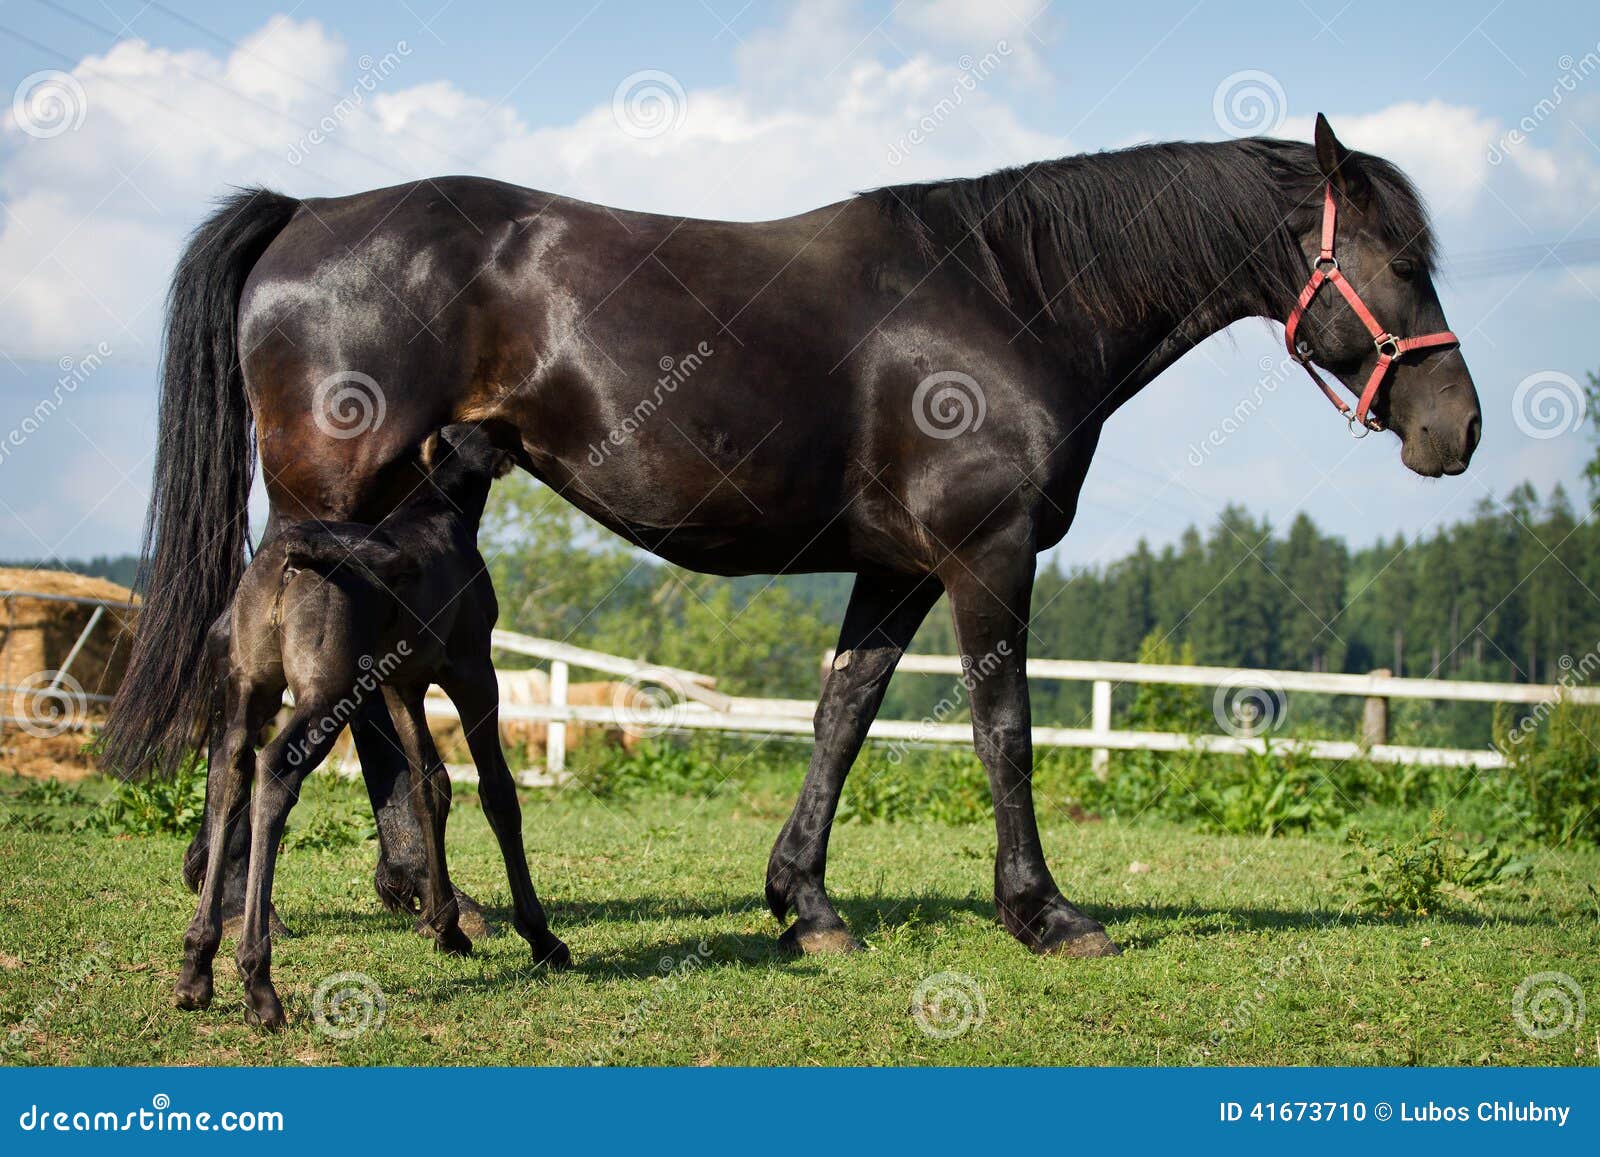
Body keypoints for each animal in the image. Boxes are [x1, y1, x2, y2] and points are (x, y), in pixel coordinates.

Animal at [105, 115, 1481, 959]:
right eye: (1396, 257)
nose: (1455, 426)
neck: (1007, 295)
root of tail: (307, 215)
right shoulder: (987, 557)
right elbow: (1006, 733)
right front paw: (1041, 910)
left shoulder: (896, 569)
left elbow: (843, 715)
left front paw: (804, 901)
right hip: (339, 518)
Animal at [174, 423, 569, 1029]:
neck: (438, 509)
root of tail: (289, 558)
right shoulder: (474, 671)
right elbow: (497, 793)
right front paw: (541, 937)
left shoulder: (401, 685)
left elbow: (430, 783)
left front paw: (446, 927)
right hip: (326, 694)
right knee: (276, 772)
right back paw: (258, 981)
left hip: (249, 690)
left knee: (229, 775)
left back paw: (197, 967)